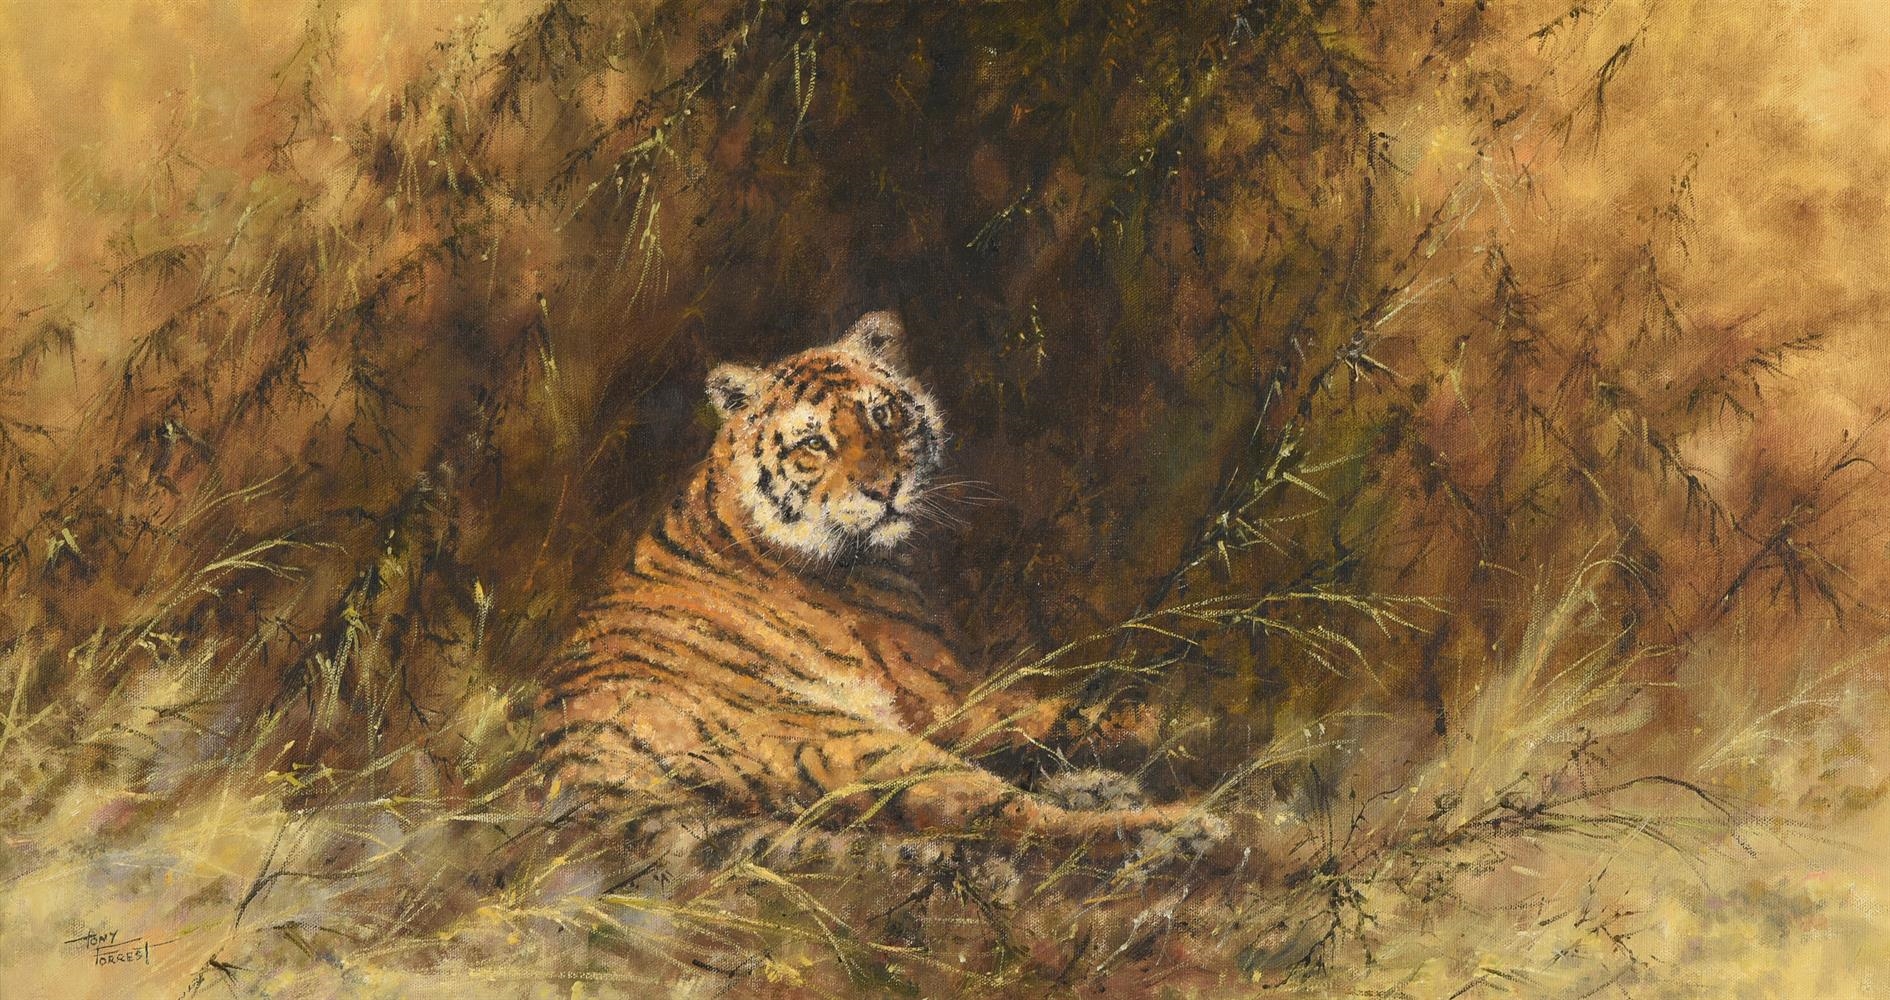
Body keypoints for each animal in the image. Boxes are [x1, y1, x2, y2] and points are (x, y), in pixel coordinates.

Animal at [532, 311, 1222, 855]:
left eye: (884, 414)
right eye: (813, 442)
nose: (882, 488)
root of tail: (590, 784)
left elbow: (1053, 714)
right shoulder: (938, 699)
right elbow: (1048, 711)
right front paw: (1172, 721)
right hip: (859, 744)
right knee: (1010, 816)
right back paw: (1180, 828)